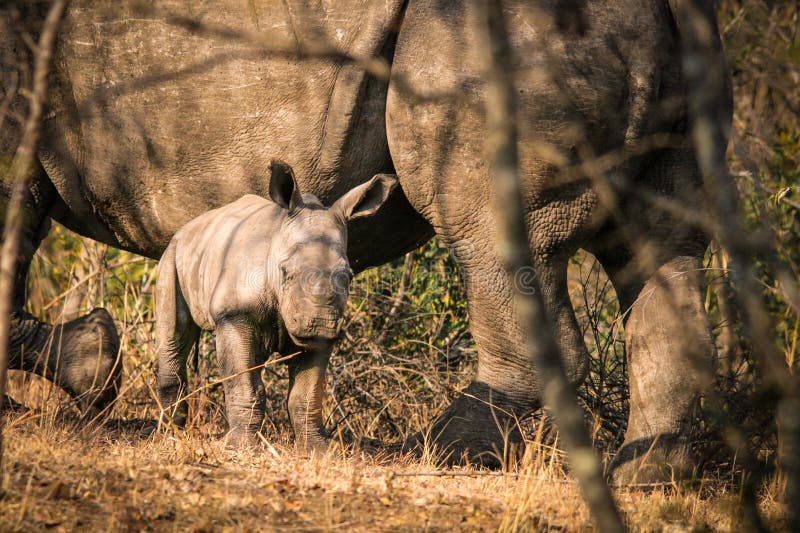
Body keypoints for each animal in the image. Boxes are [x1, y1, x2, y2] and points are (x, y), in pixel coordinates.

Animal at [154, 161, 395, 448]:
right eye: (285, 272)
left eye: (348, 276)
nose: (320, 323)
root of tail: (186, 227)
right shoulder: (234, 315)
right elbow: (245, 384)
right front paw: (241, 447)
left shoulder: (319, 337)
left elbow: (307, 395)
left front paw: (317, 449)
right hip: (172, 255)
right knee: (174, 337)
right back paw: (170, 437)